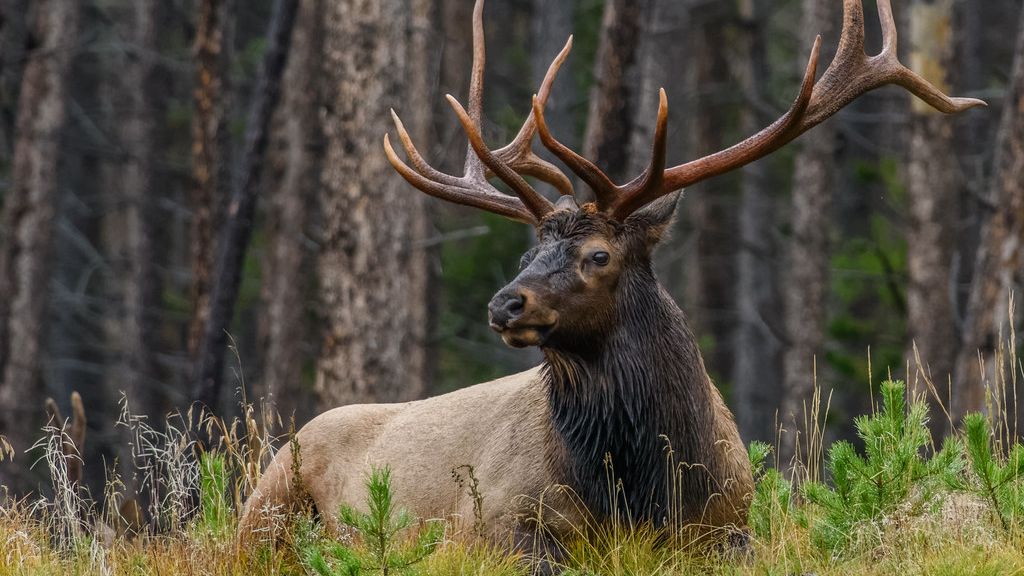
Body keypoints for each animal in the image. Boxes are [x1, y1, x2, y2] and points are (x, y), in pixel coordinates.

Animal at [240, 0, 982, 553]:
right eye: (525, 256)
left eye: (598, 255)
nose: (505, 304)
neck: (642, 490)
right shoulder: (495, 523)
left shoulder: (734, 525)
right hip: (265, 503)